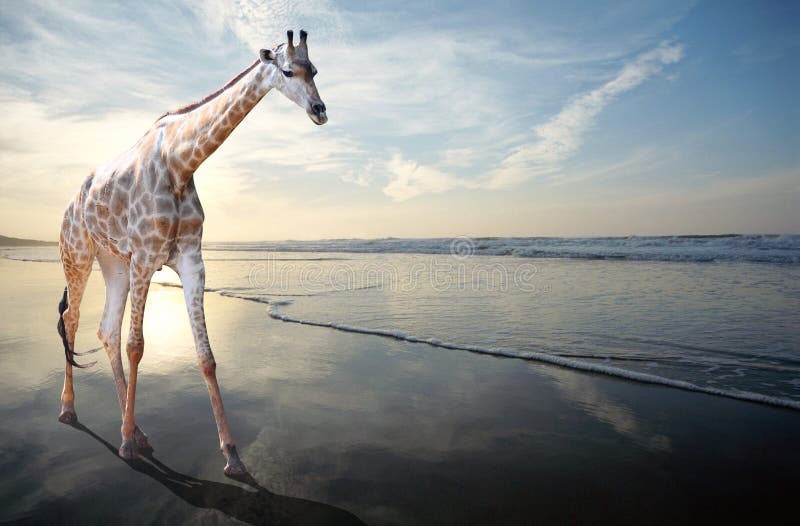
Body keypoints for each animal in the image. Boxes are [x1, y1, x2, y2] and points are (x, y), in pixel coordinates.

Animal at [56, 30, 327, 477]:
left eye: (315, 70)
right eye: (288, 71)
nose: (320, 111)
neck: (181, 163)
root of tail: (71, 202)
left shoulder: (190, 262)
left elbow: (206, 356)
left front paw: (232, 455)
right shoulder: (146, 257)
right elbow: (137, 345)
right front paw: (125, 443)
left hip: (114, 262)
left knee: (106, 329)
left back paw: (138, 431)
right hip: (77, 254)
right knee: (72, 320)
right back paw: (71, 411)